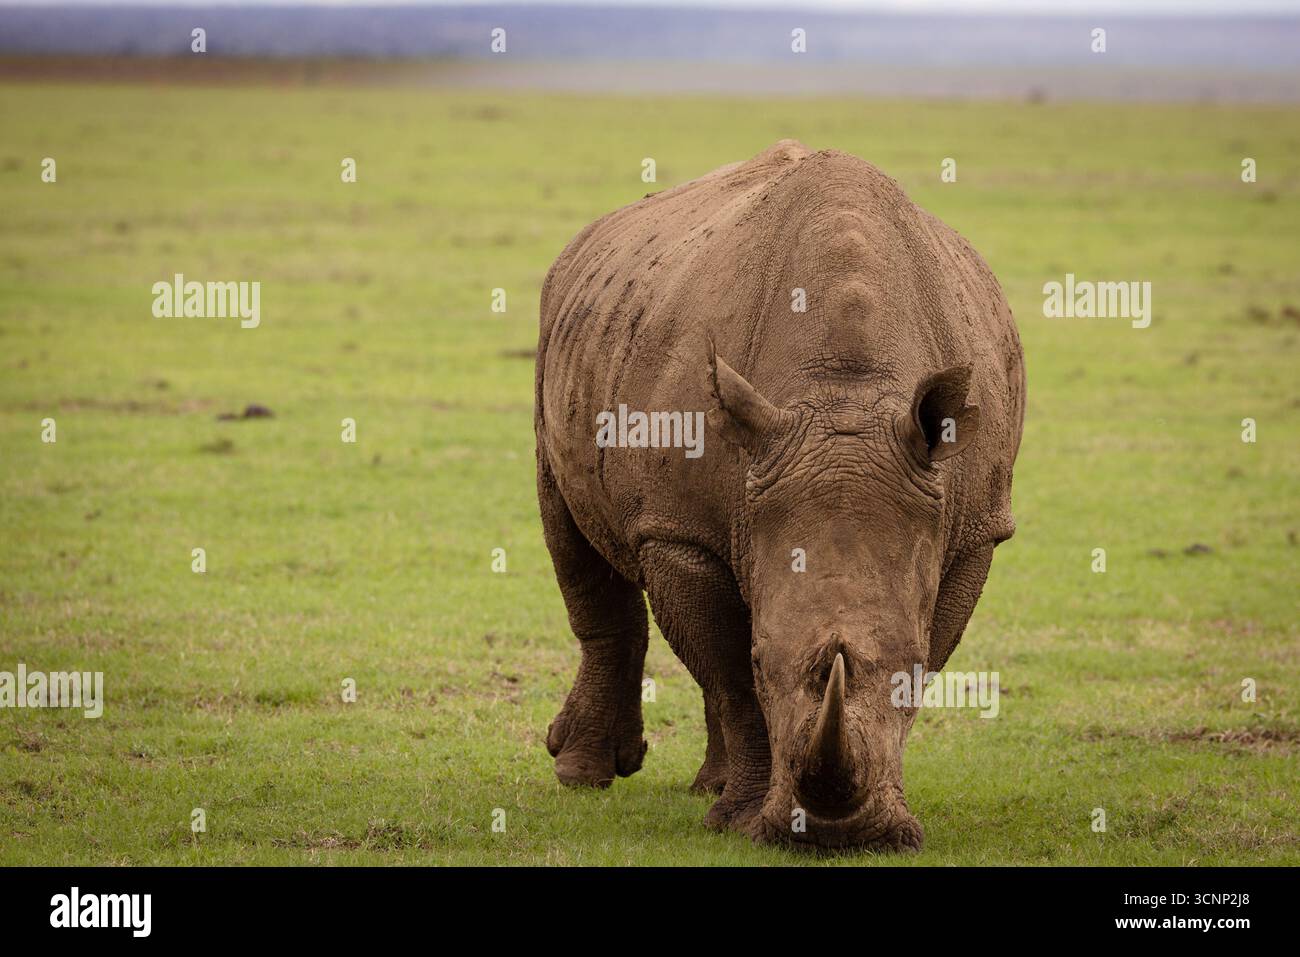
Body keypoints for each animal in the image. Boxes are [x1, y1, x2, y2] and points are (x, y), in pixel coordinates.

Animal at [534, 140, 1025, 851]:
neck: (843, 391)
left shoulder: (971, 527)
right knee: (572, 537)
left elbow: (928, 648)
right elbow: (731, 674)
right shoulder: (678, 529)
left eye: (909, 666)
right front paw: (743, 822)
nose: (839, 839)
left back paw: (706, 786)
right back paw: (584, 775)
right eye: (765, 661)